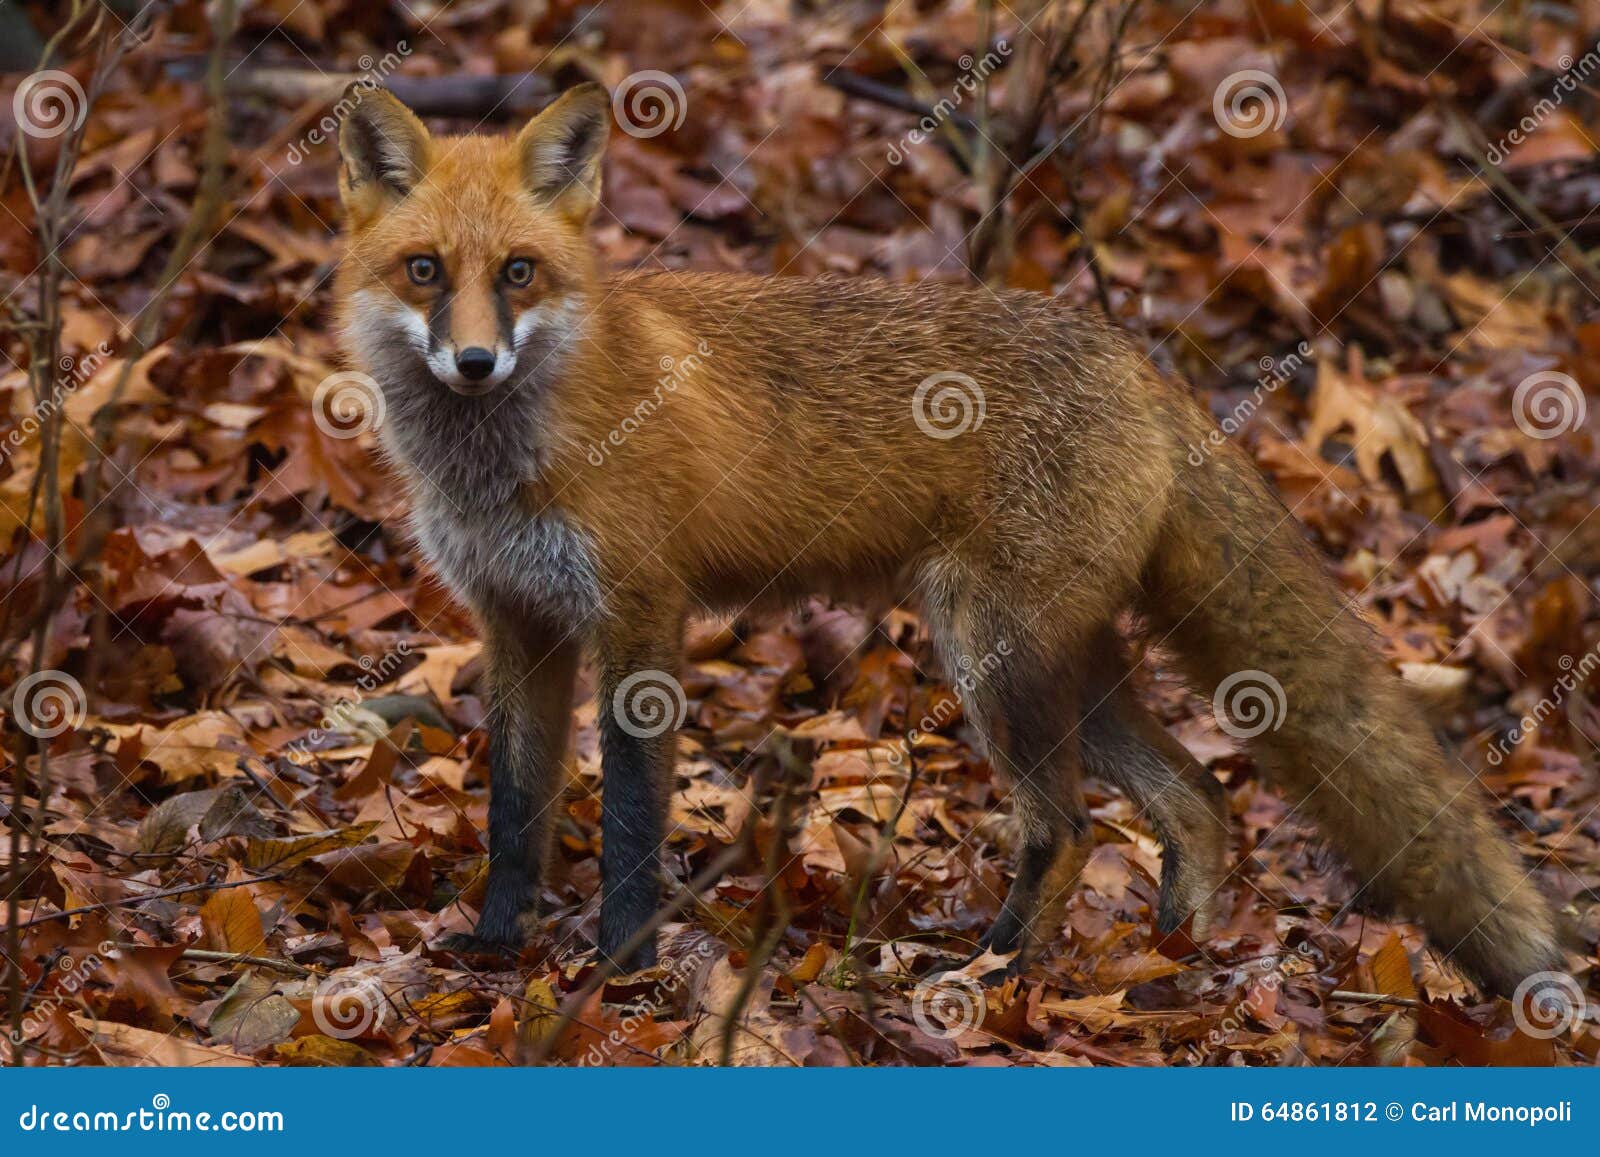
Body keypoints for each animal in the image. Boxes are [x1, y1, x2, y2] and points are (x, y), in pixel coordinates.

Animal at [332, 81, 1562, 995]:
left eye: (520, 273)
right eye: (425, 270)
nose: (475, 362)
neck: (506, 460)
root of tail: (1137, 359)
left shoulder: (639, 616)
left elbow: (632, 818)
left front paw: (619, 968)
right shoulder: (519, 622)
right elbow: (514, 811)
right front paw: (495, 947)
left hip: (994, 657)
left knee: (1066, 826)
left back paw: (992, 970)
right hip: (1064, 665)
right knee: (1197, 802)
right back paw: (1163, 967)